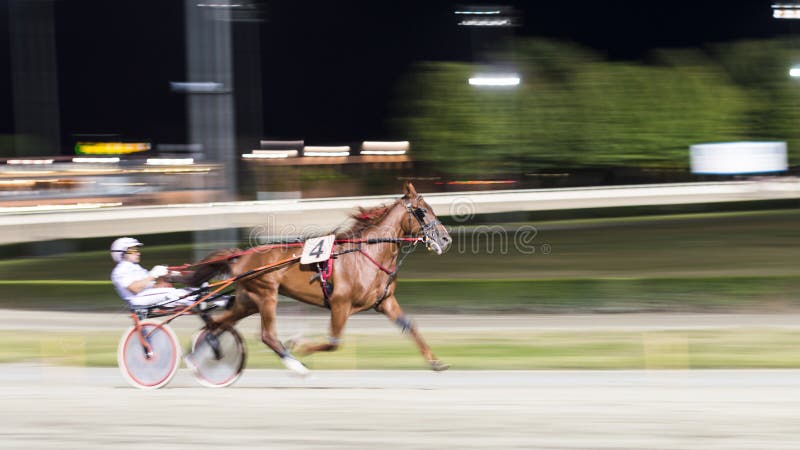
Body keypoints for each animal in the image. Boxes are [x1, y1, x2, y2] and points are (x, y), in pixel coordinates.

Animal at [185, 182, 453, 374]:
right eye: (422, 212)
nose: (446, 239)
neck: (368, 253)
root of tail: (239, 257)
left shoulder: (385, 301)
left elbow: (410, 326)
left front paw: (435, 361)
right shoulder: (340, 303)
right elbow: (334, 342)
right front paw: (300, 346)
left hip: (248, 300)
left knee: (217, 325)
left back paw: (198, 354)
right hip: (266, 294)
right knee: (266, 335)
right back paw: (295, 365)